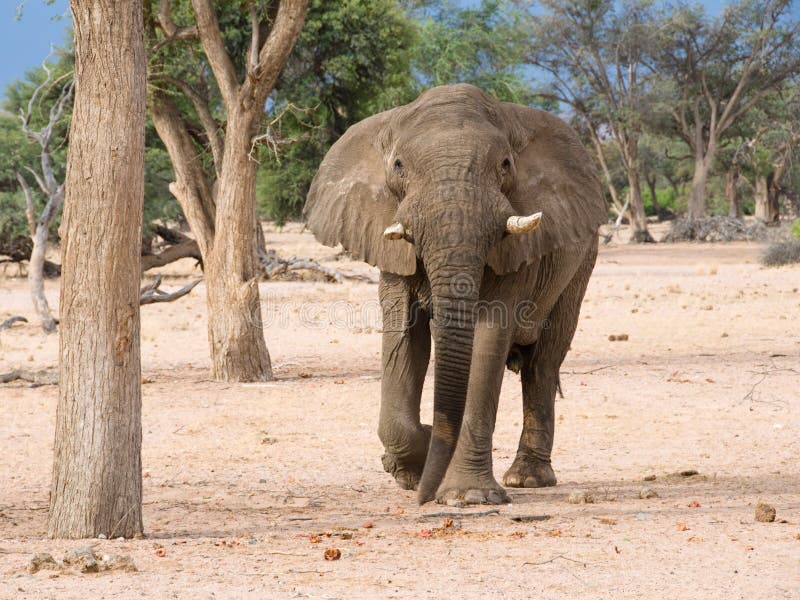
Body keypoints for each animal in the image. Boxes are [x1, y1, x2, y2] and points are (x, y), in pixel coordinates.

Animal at [304, 84, 606, 505]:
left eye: (505, 165)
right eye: (398, 166)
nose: (423, 496)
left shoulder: (516, 251)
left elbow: (487, 338)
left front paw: (468, 496)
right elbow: (403, 341)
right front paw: (413, 469)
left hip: (580, 265)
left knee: (542, 364)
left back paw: (526, 479)